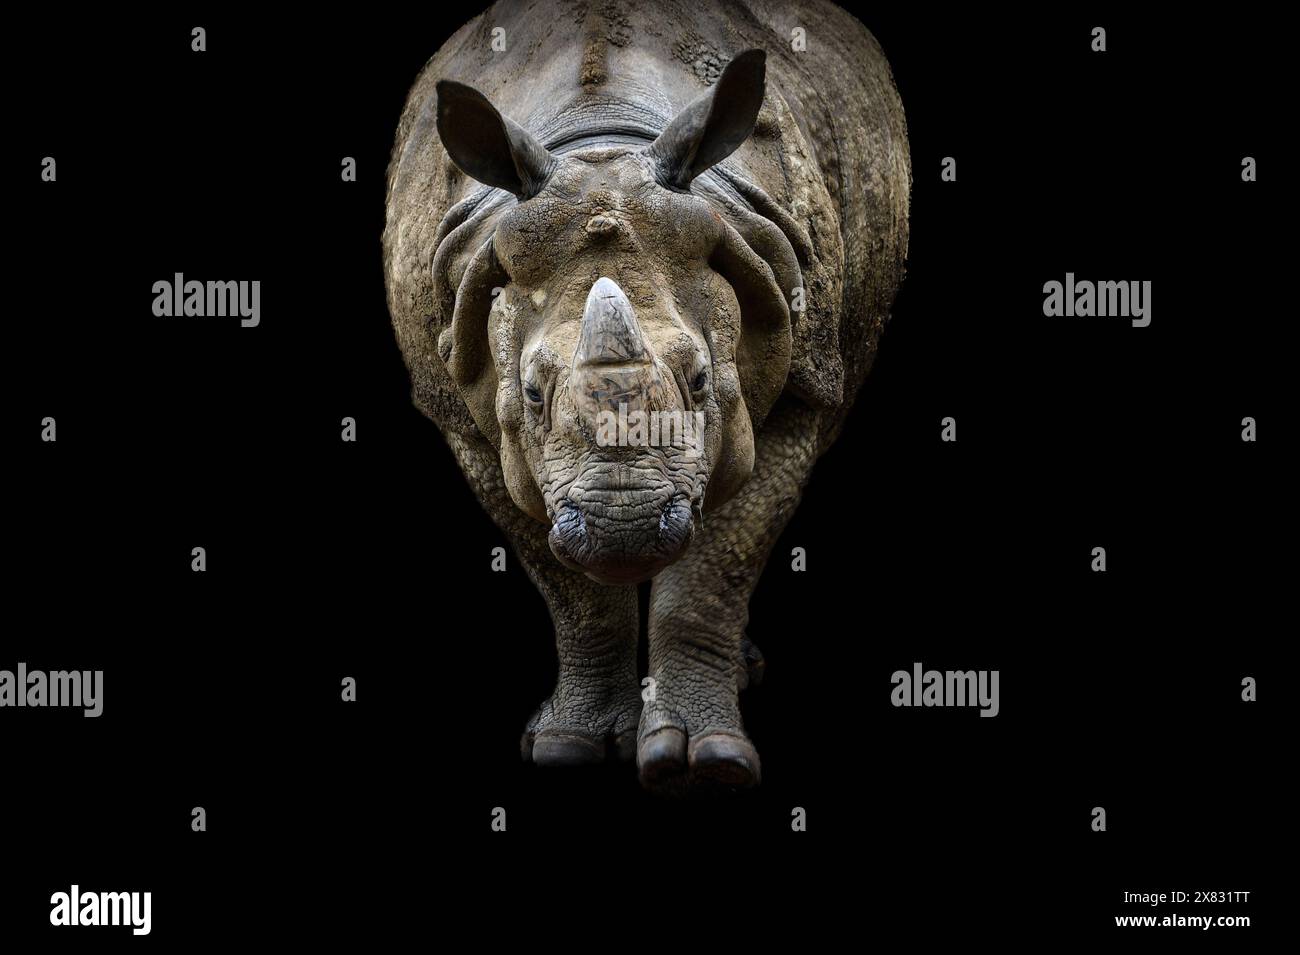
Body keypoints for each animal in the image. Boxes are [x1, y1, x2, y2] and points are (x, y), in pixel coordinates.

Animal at [383, 0, 909, 792]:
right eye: (530, 394)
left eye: (700, 381)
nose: (622, 530)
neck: (601, 139)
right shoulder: (460, 412)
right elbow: (570, 591)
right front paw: (568, 748)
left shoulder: (804, 385)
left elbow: (717, 572)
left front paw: (707, 761)